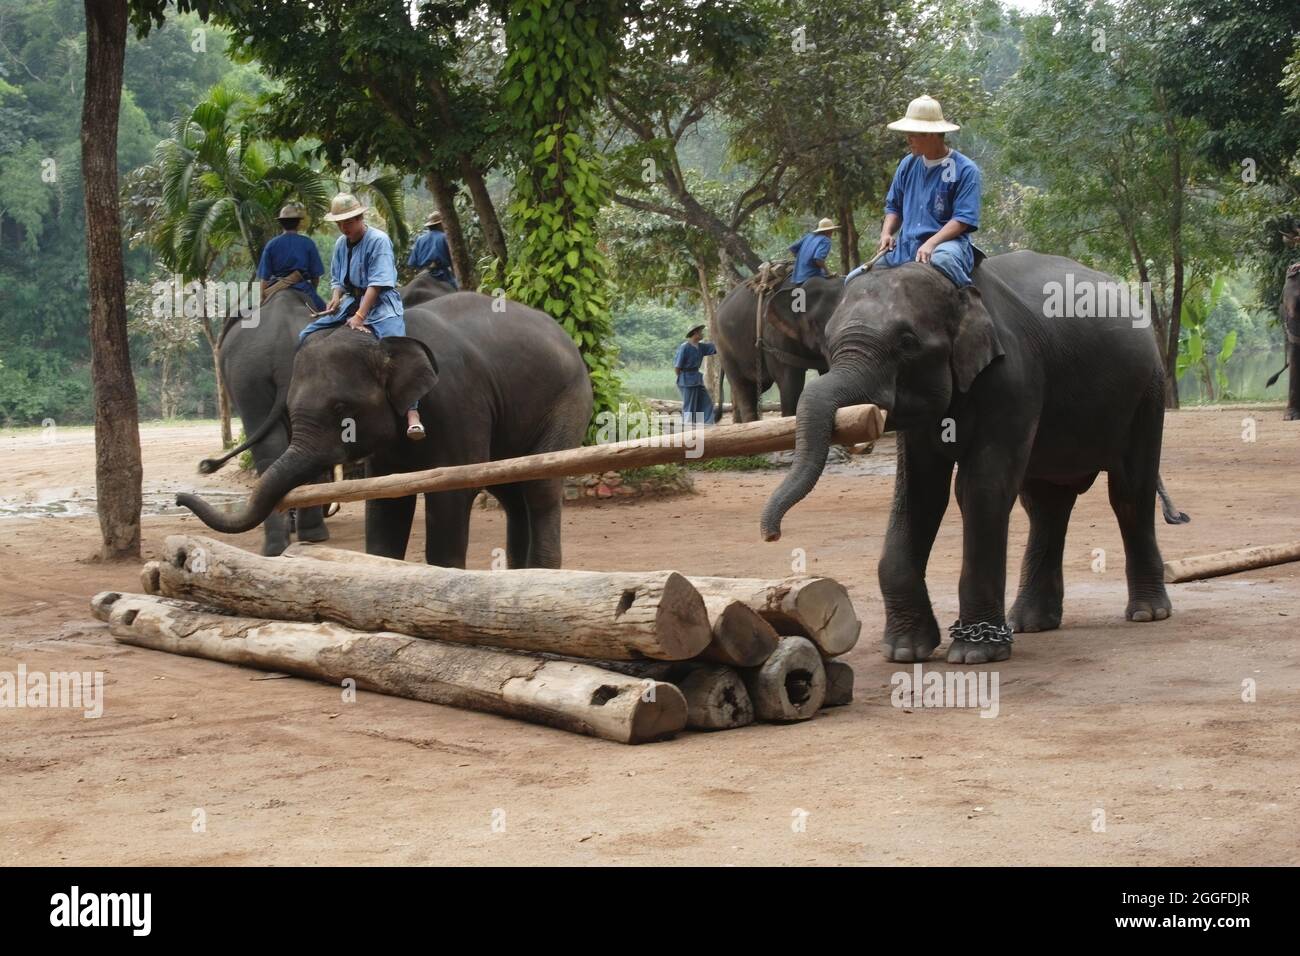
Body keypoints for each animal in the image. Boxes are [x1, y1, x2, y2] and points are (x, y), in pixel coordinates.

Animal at [178, 292, 593, 568]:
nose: (181, 496)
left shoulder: (458, 402)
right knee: (510, 490)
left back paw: (542, 573)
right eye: (290, 409)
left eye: (342, 410)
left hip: (567, 399)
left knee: (539, 487)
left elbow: (453, 493)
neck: (381, 341)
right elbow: (386, 499)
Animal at [760, 250, 1189, 664]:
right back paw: (1031, 623)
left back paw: (1147, 613)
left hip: (1147, 391)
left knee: (1130, 493)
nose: (771, 535)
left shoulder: (1013, 378)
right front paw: (904, 652)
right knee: (1046, 504)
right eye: (827, 342)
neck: (956, 290)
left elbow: (979, 488)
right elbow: (919, 495)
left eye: (907, 342)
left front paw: (975, 653)